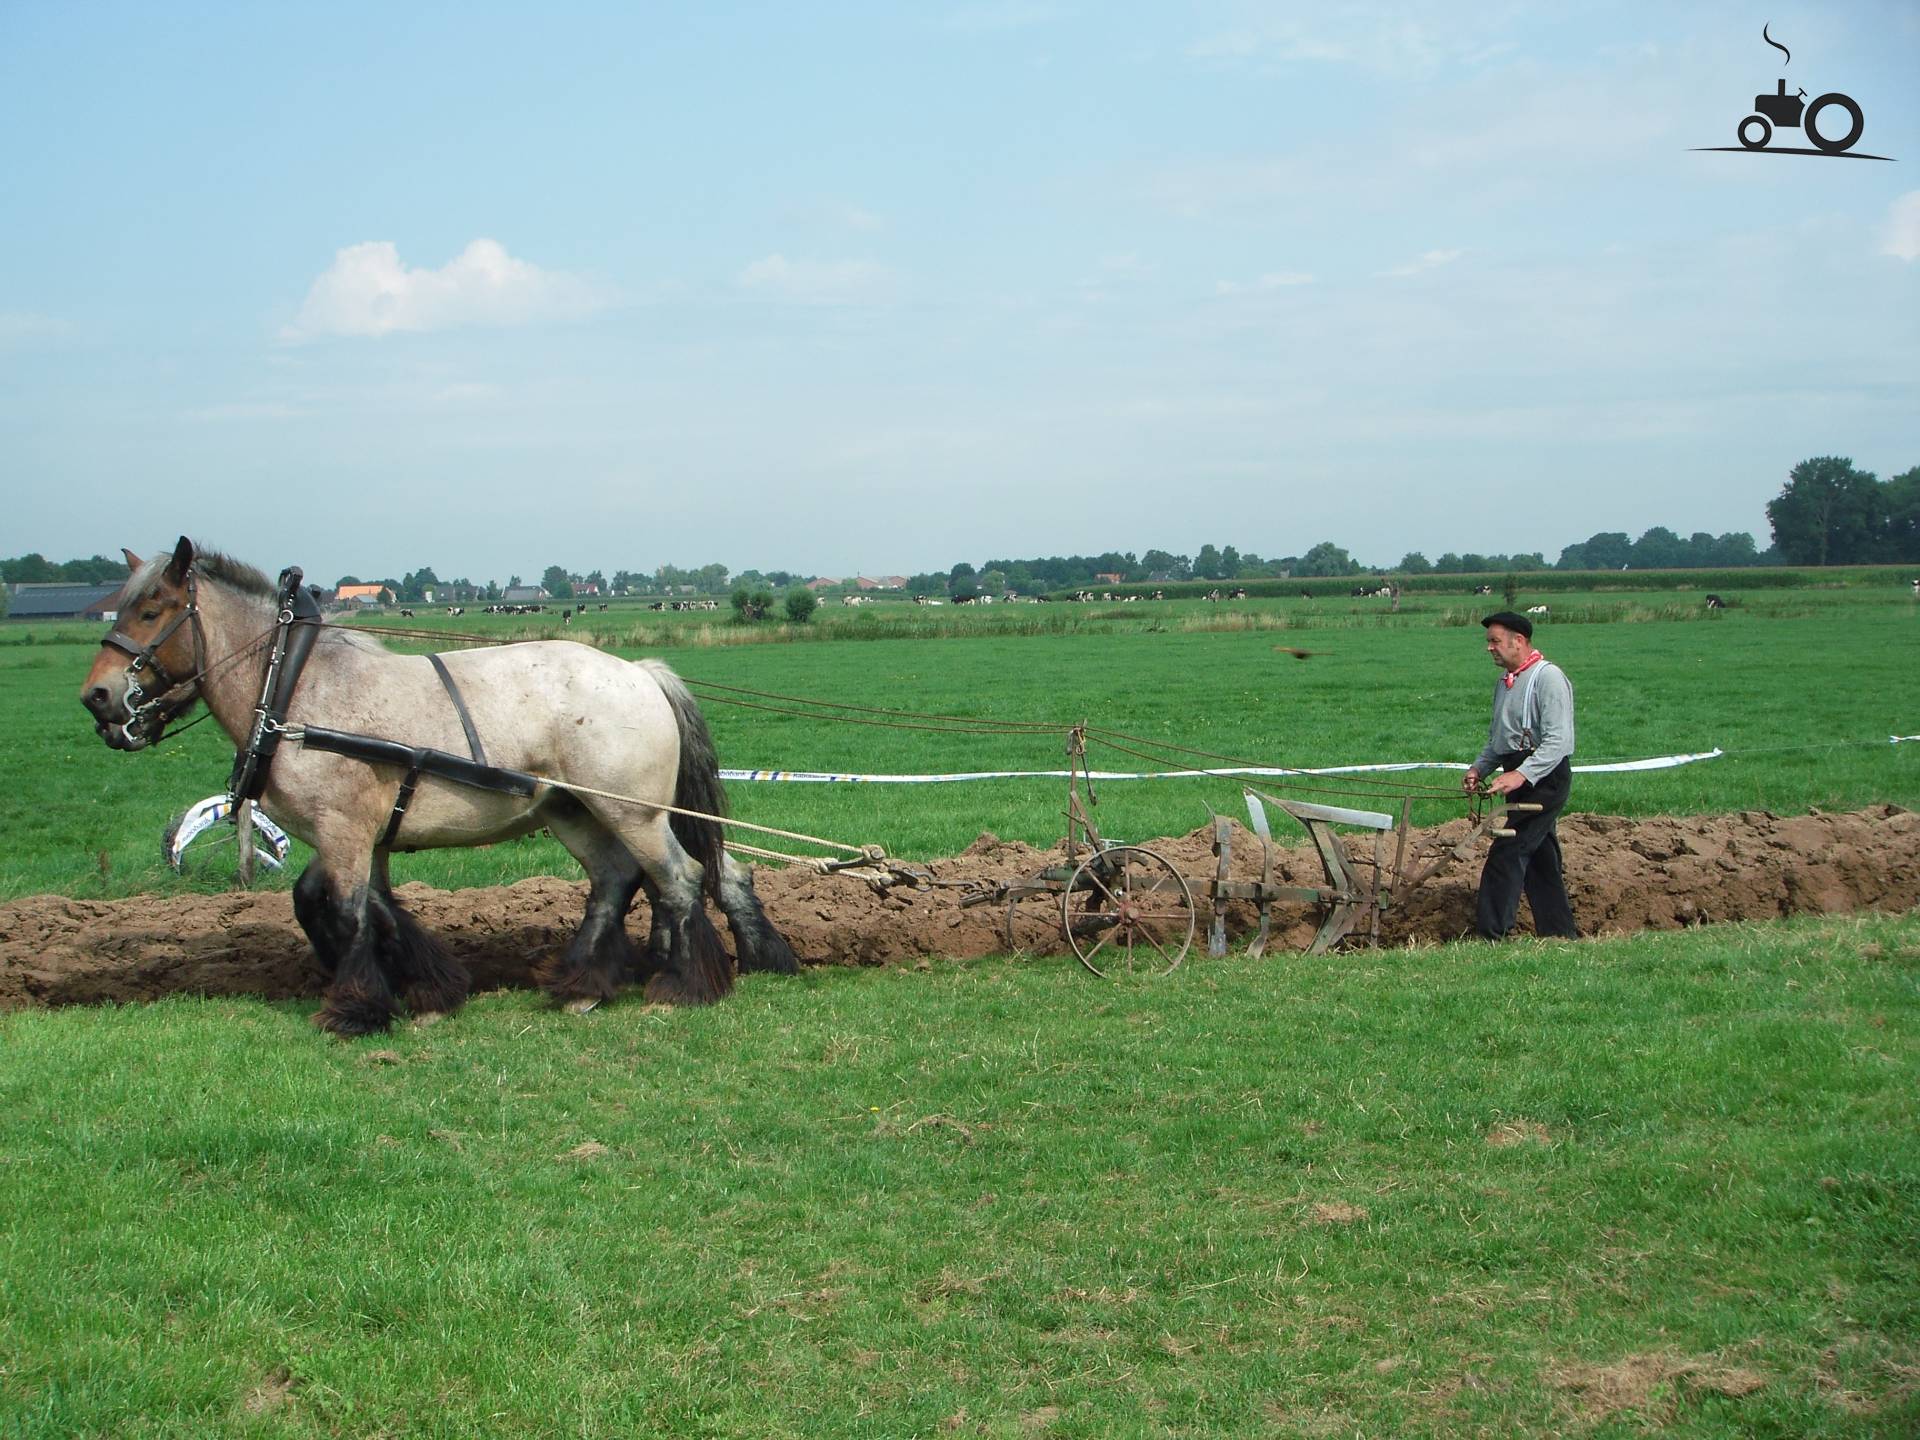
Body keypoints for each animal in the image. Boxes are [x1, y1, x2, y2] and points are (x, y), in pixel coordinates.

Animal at [81, 538, 797, 1036]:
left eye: (152, 610)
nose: (98, 697)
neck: (295, 689)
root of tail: (642, 673)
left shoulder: (343, 830)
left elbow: (349, 911)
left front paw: (356, 1008)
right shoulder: (358, 835)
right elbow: (348, 905)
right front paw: (425, 990)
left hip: (633, 812)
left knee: (679, 878)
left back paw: (683, 986)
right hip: (573, 811)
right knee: (618, 881)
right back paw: (582, 983)